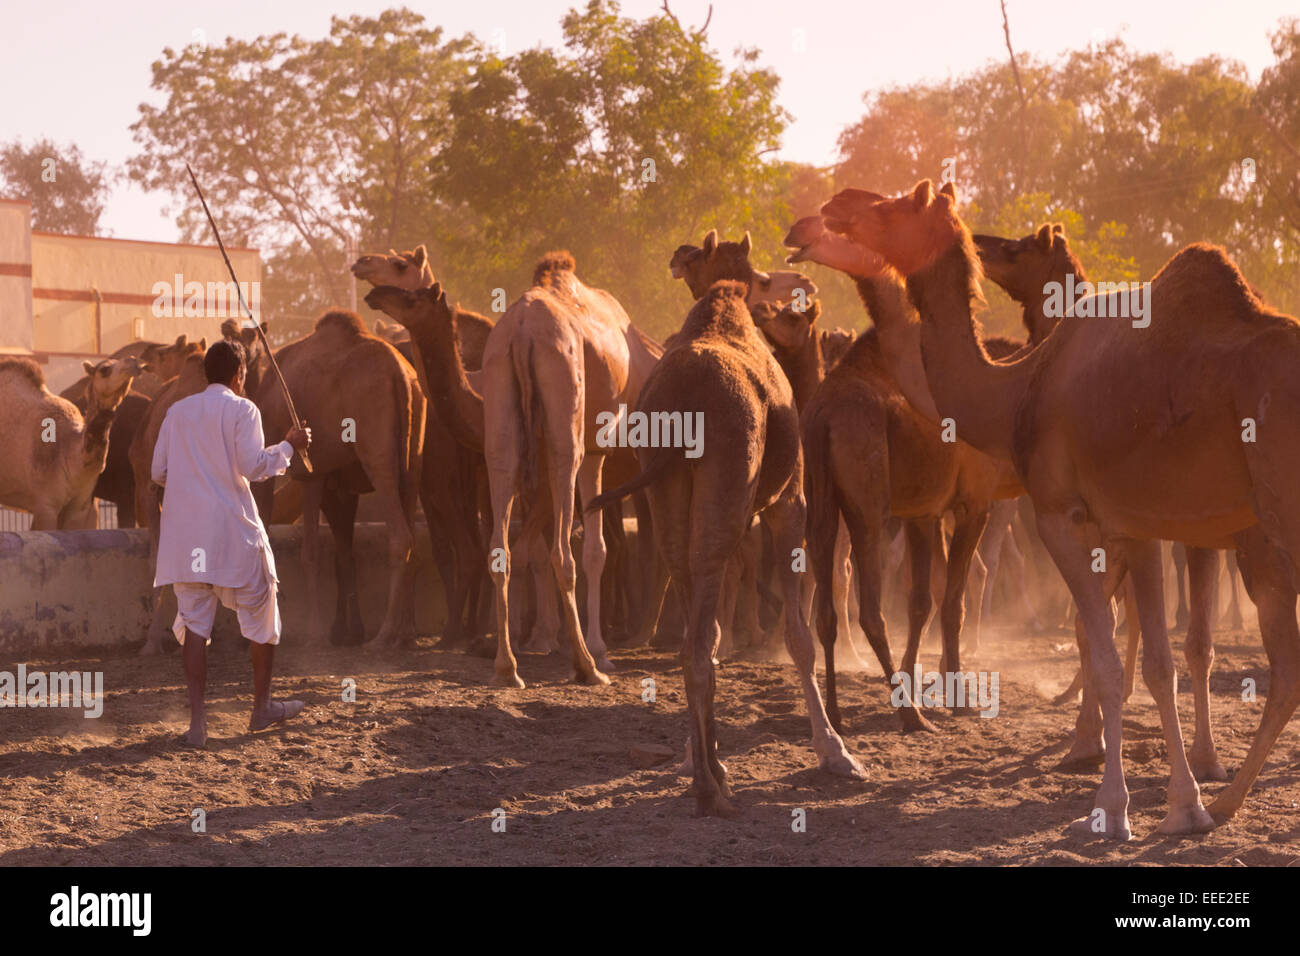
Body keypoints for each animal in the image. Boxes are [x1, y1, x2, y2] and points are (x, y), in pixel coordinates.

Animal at [587, 280, 864, 816]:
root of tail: (682, 403)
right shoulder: (790, 502)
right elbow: (798, 637)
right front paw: (835, 752)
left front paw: (697, 756)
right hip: (728, 487)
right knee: (698, 641)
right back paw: (709, 789)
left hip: (670, 500)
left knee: (694, 635)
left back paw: (710, 773)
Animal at [819, 179, 1300, 839]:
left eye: (894, 206)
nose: (834, 203)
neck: (1018, 388)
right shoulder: (1136, 526)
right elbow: (1156, 664)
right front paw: (1184, 805)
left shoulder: (1058, 516)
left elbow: (1107, 658)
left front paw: (1112, 809)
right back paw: (1225, 801)